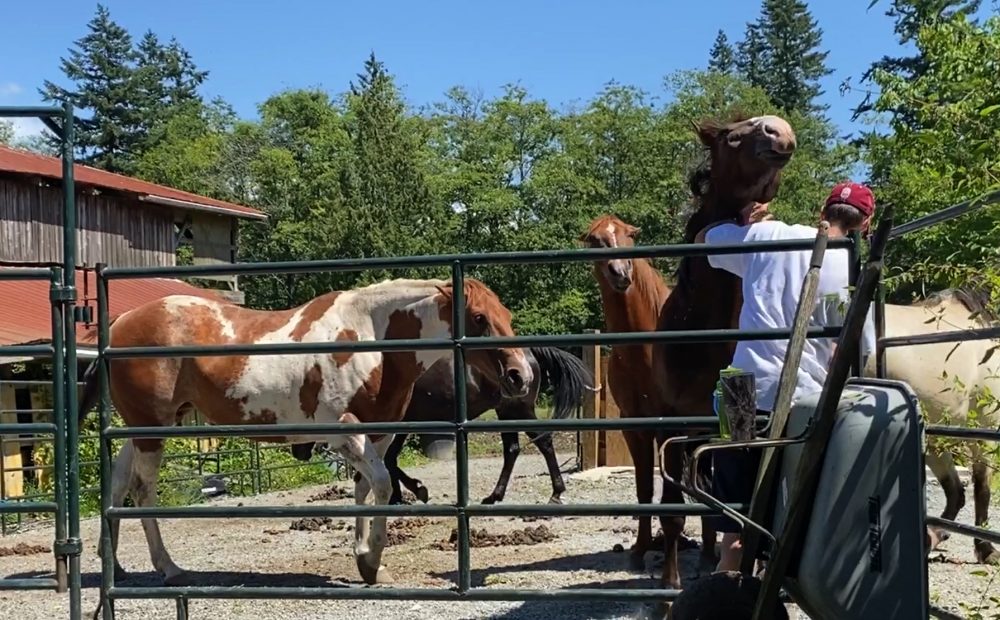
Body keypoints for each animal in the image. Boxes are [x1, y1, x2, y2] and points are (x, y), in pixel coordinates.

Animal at [77, 277, 532, 587]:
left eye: (508, 316)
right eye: (479, 318)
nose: (521, 376)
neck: (370, 338)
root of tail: (120, 324)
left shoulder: (377, 435)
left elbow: (365, 488)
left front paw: (365, 561)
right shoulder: (345, 435)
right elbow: (383, 485)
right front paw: (371, 558)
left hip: (143, 428)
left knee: (118, 484)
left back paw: (115, 565)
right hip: (151, 431)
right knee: (142, 492)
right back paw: (169, 568)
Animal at [379, 346, 593, 506]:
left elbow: (389, 459)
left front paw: (416, 490)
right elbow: (389, 459)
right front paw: (397, 497)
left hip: (519, 410)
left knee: (544, 442)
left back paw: (556, 493)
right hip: (507, 413)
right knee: (513, 449)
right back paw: (494, 496)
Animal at [580, 215, 717, 571]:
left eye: (630, 235)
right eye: (595, 239)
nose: (621, 272)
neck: (642, 348)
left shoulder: (667, 428)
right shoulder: (634, 426)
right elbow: (643, 491)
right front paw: (639, 552)